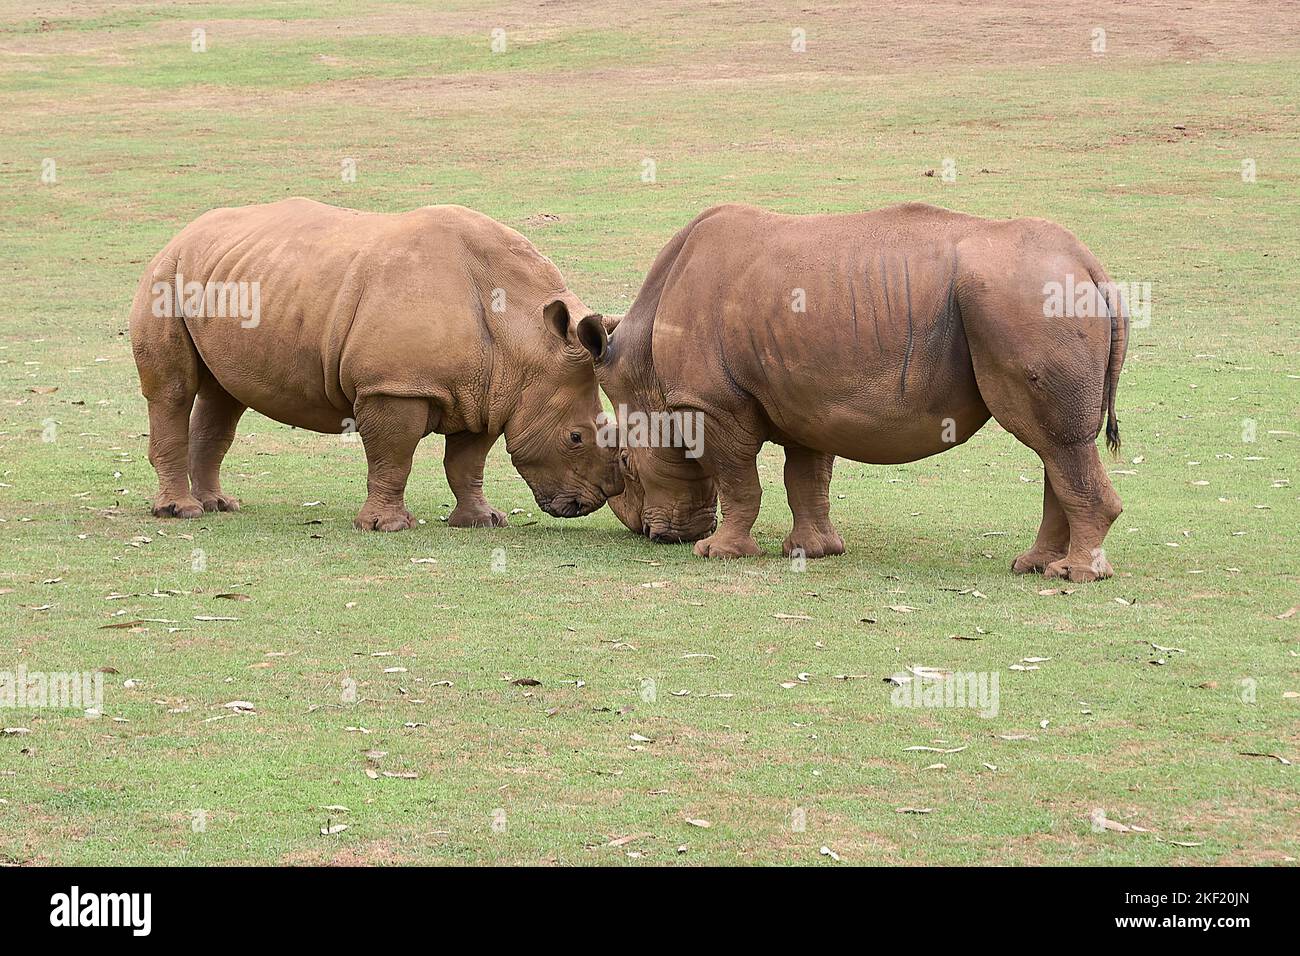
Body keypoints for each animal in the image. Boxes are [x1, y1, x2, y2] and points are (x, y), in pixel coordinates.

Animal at [129, 198, 622, 530]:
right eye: (576, 437)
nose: (592, 502)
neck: (525, 340)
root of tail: (181, 234)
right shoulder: (394, 385)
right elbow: (393, 456)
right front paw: (388, 526)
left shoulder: (487, 393)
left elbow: (467, 463)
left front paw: (482, 521)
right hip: (165, 276)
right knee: (173, 391)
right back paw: (181, 513)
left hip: (223, 273)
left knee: (224, 396)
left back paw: (220, 505)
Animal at [598, 202, 1129, 583]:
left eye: (624, 461)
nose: (653, 533)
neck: (644, 367)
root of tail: (1091, 266)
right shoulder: (803, 397)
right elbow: (806, 478)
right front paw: (812, 551)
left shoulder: (709, 403)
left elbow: (737, 478)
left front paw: (718, 553)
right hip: (1036, 295)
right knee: (1058, 448)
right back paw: (1034, 567)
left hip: (1027, 301)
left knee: (1056, 443)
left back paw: (1074, 575)